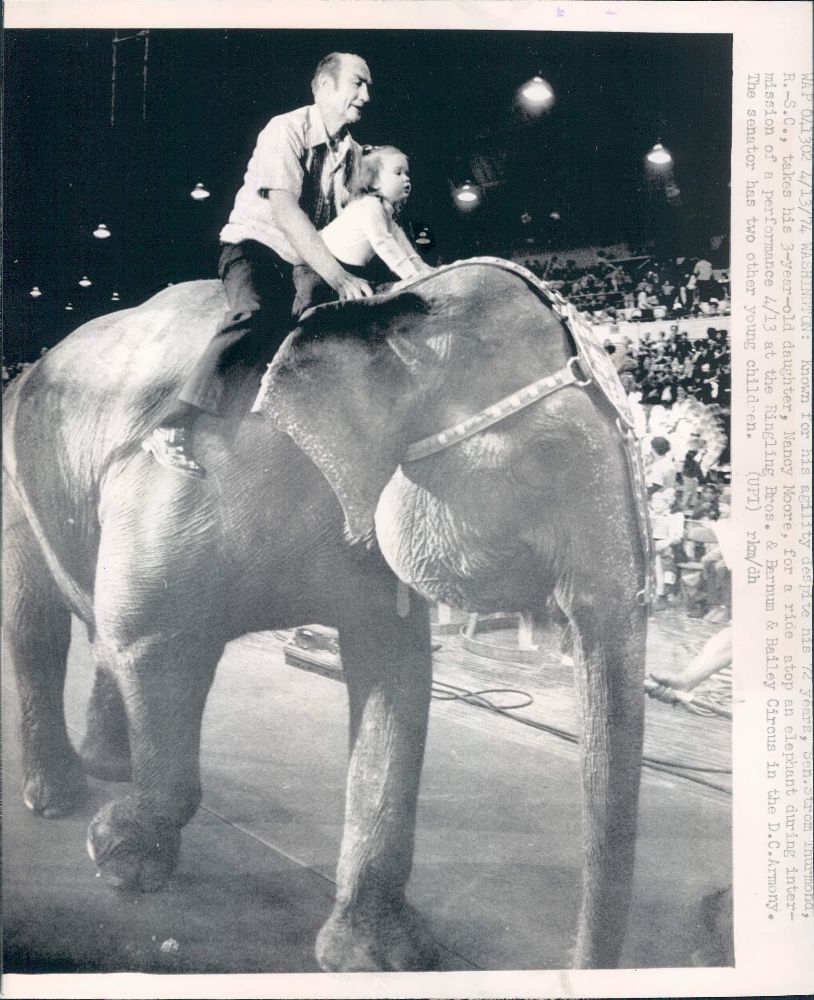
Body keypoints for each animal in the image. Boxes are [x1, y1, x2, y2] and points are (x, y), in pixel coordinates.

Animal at [2, 258, 648, 971]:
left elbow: (397, 674)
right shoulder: (181, 483)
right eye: (545, 459)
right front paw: (116, 854)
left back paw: (111, 769)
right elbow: (152, 641)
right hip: (17, 481)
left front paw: (374, 956)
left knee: (97, 621)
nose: (571, 973)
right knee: (39, 623)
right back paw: (60, 798)